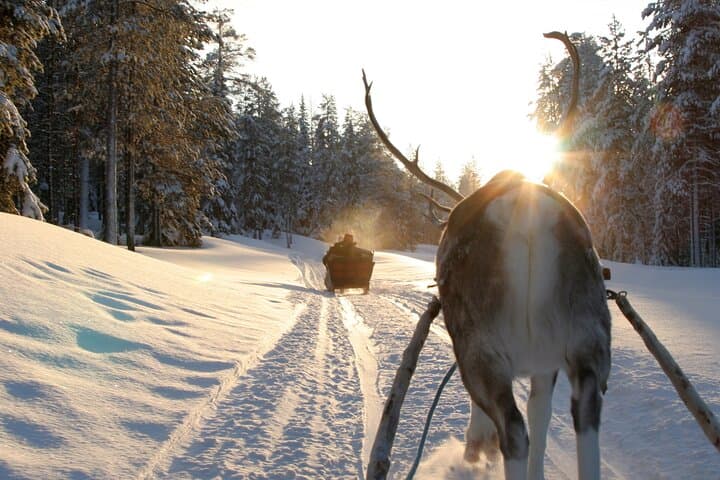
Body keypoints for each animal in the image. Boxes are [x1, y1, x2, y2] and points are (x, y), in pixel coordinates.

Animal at [363, 32, 611, 480]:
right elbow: (542, 419)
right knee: (583, 413)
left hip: (480, 348)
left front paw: (476, 449)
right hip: (589, 338)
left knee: (513, 429)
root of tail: (527, 220)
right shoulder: (546, 365)